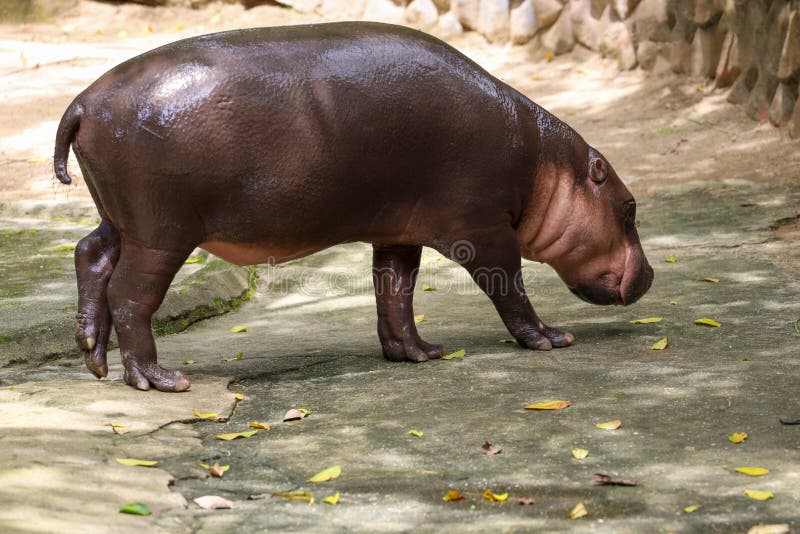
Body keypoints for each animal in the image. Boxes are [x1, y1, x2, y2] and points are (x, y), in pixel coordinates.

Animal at [53, 22, 653, 393]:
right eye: (629, 209)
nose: (649, 276)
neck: (544, 166)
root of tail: (81, 102)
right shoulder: (483, 230)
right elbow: (509, 288)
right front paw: (551, 339)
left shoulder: (399, 231)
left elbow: (395, 291)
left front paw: (420, 353)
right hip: (162, 231)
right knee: (130, 295)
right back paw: (160, 380)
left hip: (122, 217)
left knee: (90, 255)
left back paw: (94, 358)